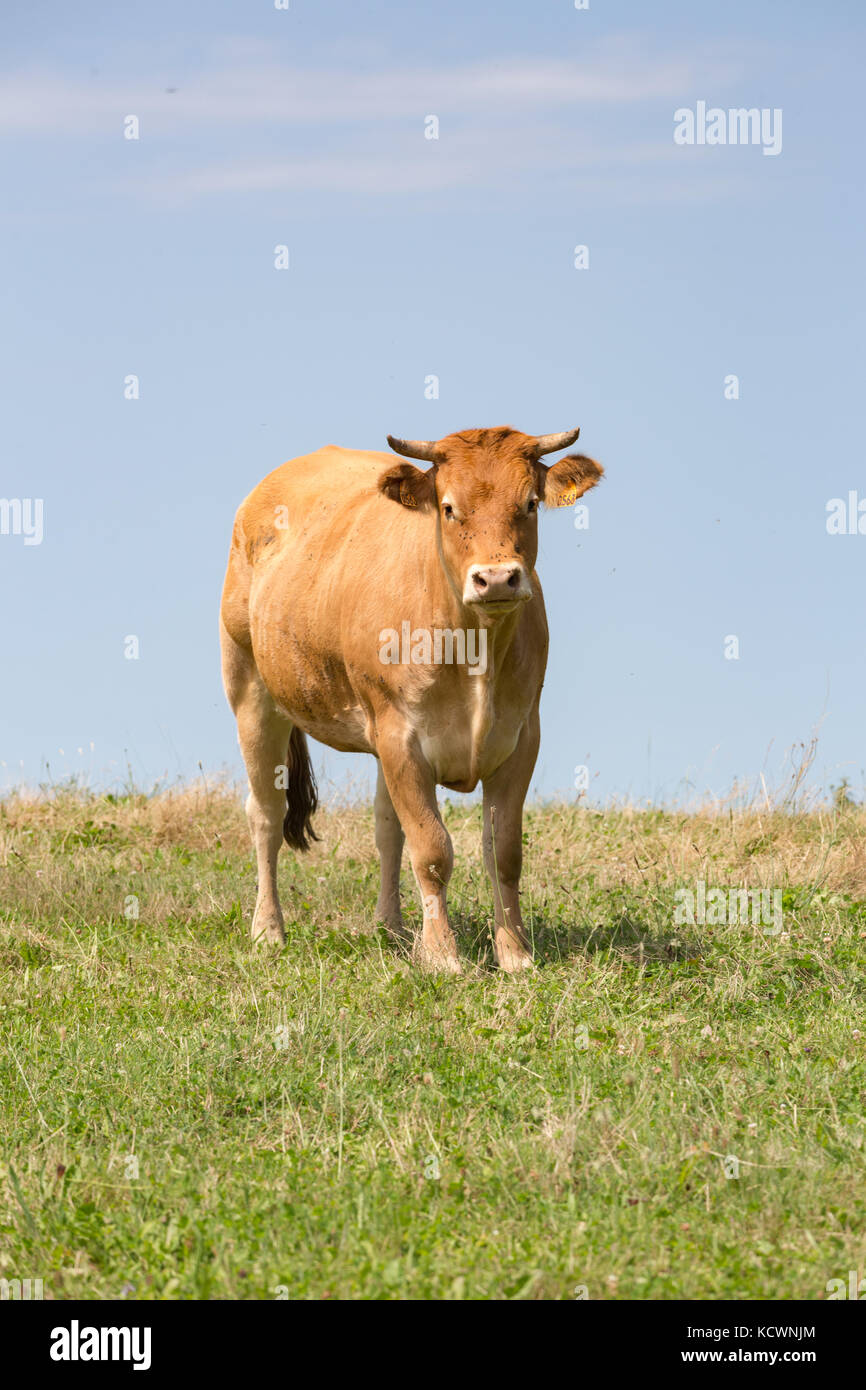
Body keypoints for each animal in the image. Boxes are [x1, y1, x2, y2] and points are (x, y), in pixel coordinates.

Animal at [220, 426, 603, 973]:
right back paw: (268, 929)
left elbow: (503, 851)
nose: (497, 579)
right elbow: (432, 849)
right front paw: (442, 954)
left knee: (386, 828)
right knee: (266, 813)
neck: (473, 649)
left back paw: (394, 929)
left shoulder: (521, 736)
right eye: (448, 508)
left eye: (529, 504)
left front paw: (514, 953)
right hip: (250, 688)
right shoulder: (402, 736)